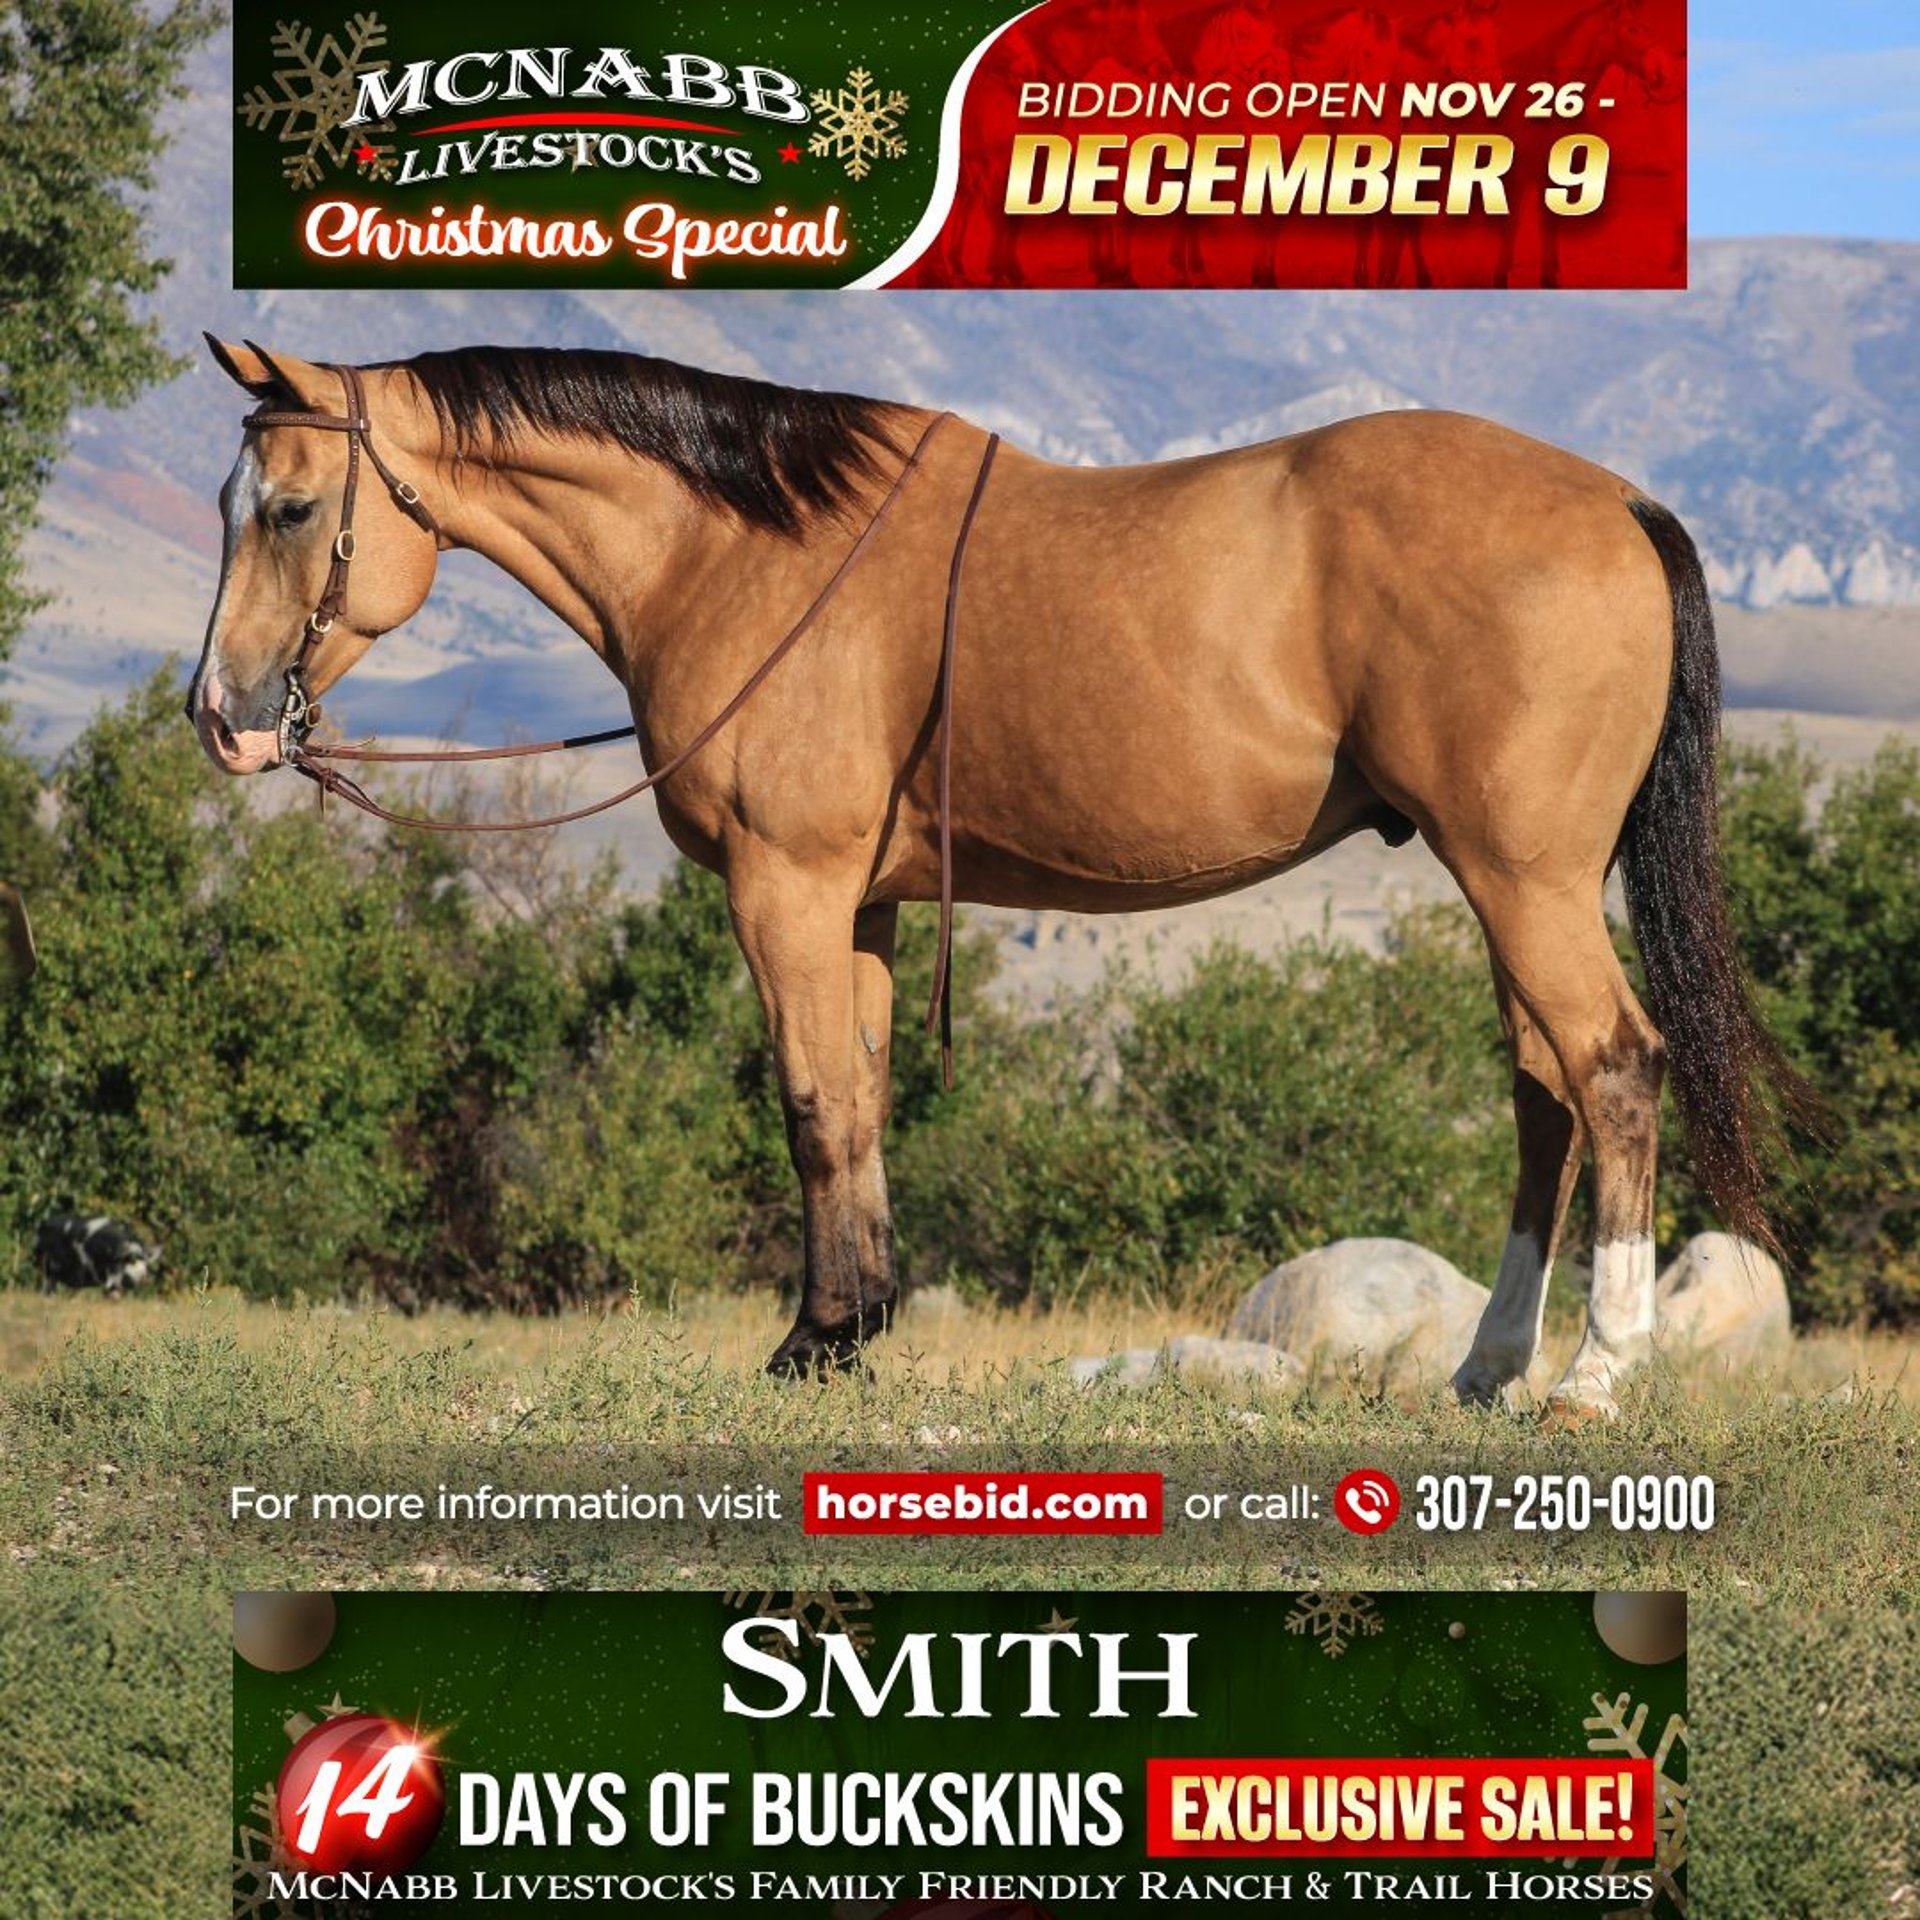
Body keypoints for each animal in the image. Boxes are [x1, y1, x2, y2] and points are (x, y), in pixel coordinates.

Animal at [188, 335, 1805, 1413]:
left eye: (287, 507)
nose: (222, 715)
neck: (747, 552)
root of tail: (1618, 505)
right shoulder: (863, 905)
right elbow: (862, 1100)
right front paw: (853, 1330)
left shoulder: (785, 888)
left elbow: (811, 1106)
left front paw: (812, 1345)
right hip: (1517, 887)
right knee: (1545, 1094)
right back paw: (1484, 1370)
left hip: (1526, 881)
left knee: (1613, 1069)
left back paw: (1591, 1375)